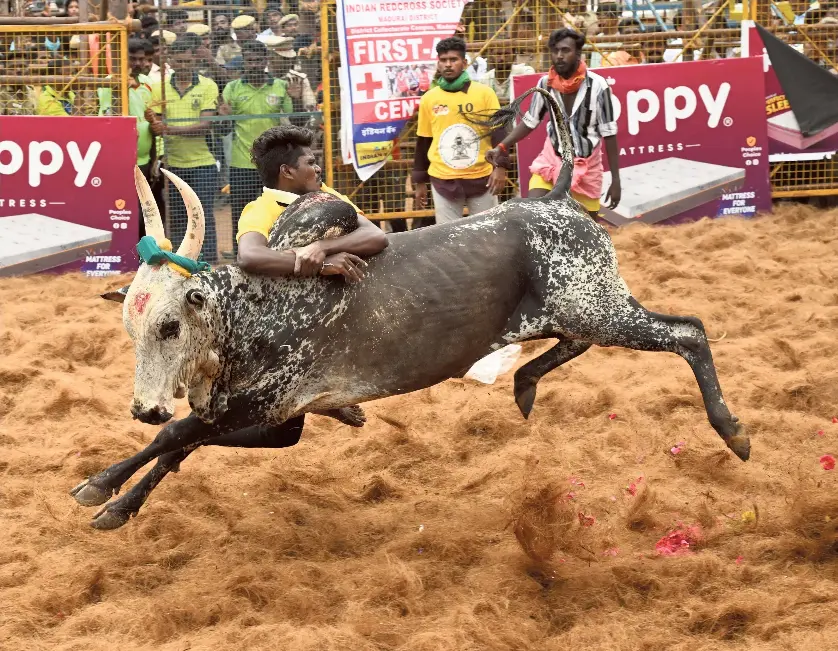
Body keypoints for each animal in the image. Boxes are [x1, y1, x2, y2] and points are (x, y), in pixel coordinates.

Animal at [70, 87, 749, 530]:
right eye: (131, 328)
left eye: (169, 324)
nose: (143, 407)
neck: (249, 312)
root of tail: (554, 201)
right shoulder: (275, 419)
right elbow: (179, 446)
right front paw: (118, 506)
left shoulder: (262, 402)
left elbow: (177, 436)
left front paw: (98, 486)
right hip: (582, 311)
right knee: (580, 344)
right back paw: (525, 384)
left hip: (600, 308)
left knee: (690, 332)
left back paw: (733, 432)